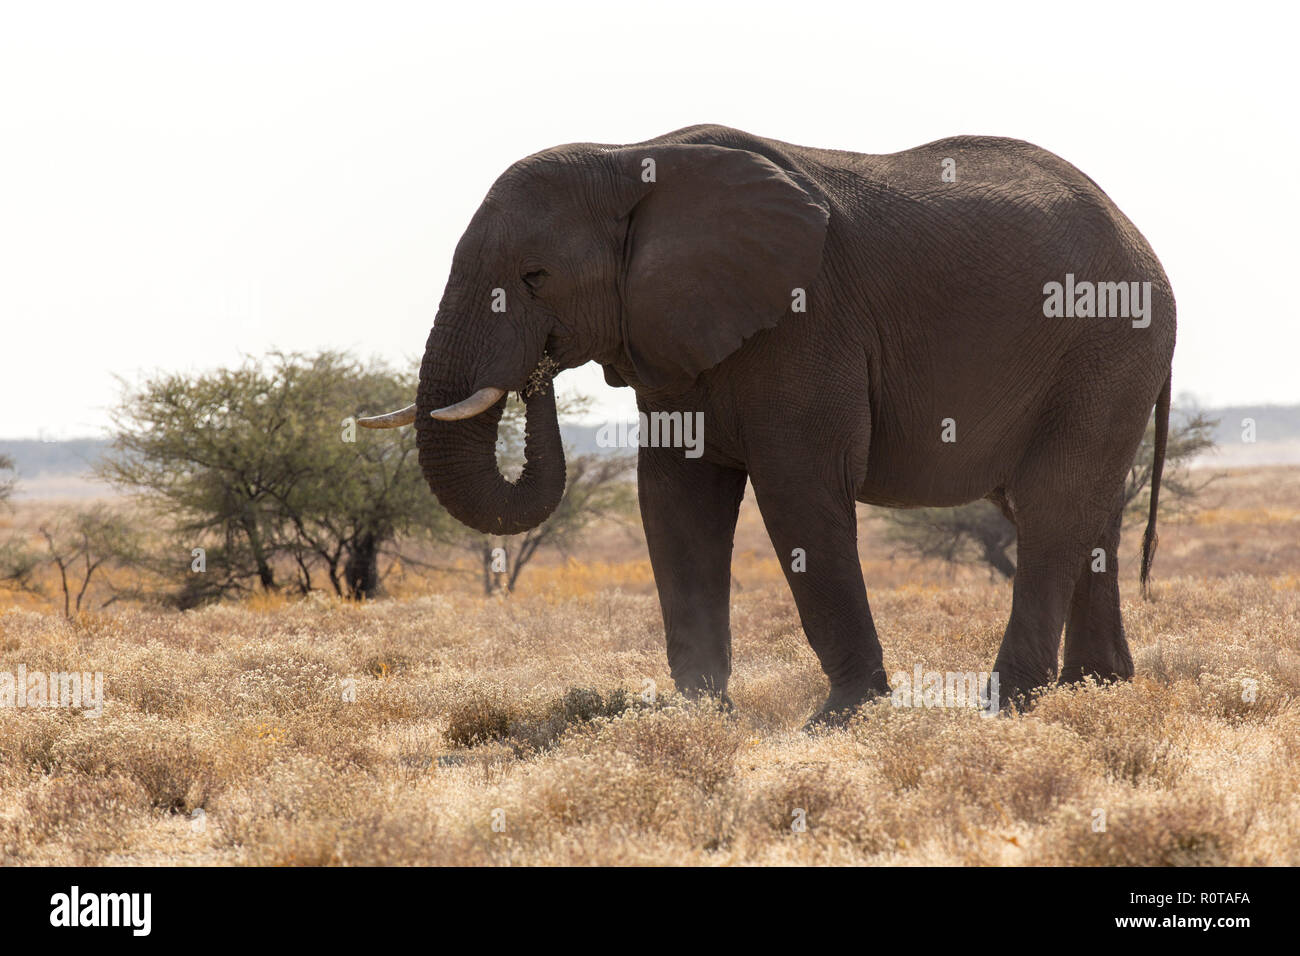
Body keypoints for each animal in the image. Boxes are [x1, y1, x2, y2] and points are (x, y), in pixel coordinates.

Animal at [360, 124, 1175, 723]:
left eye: (535, 278)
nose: (537, 376)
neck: (630, 156)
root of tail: (1143, 242)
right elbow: (674, 499)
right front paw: (697, 716)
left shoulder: (805, 321)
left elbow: (798, 491)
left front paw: (840, 719)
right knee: (1081, 510)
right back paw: (1097, 689)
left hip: (1107, 343)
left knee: (1052, 503)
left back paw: (1008, 708)